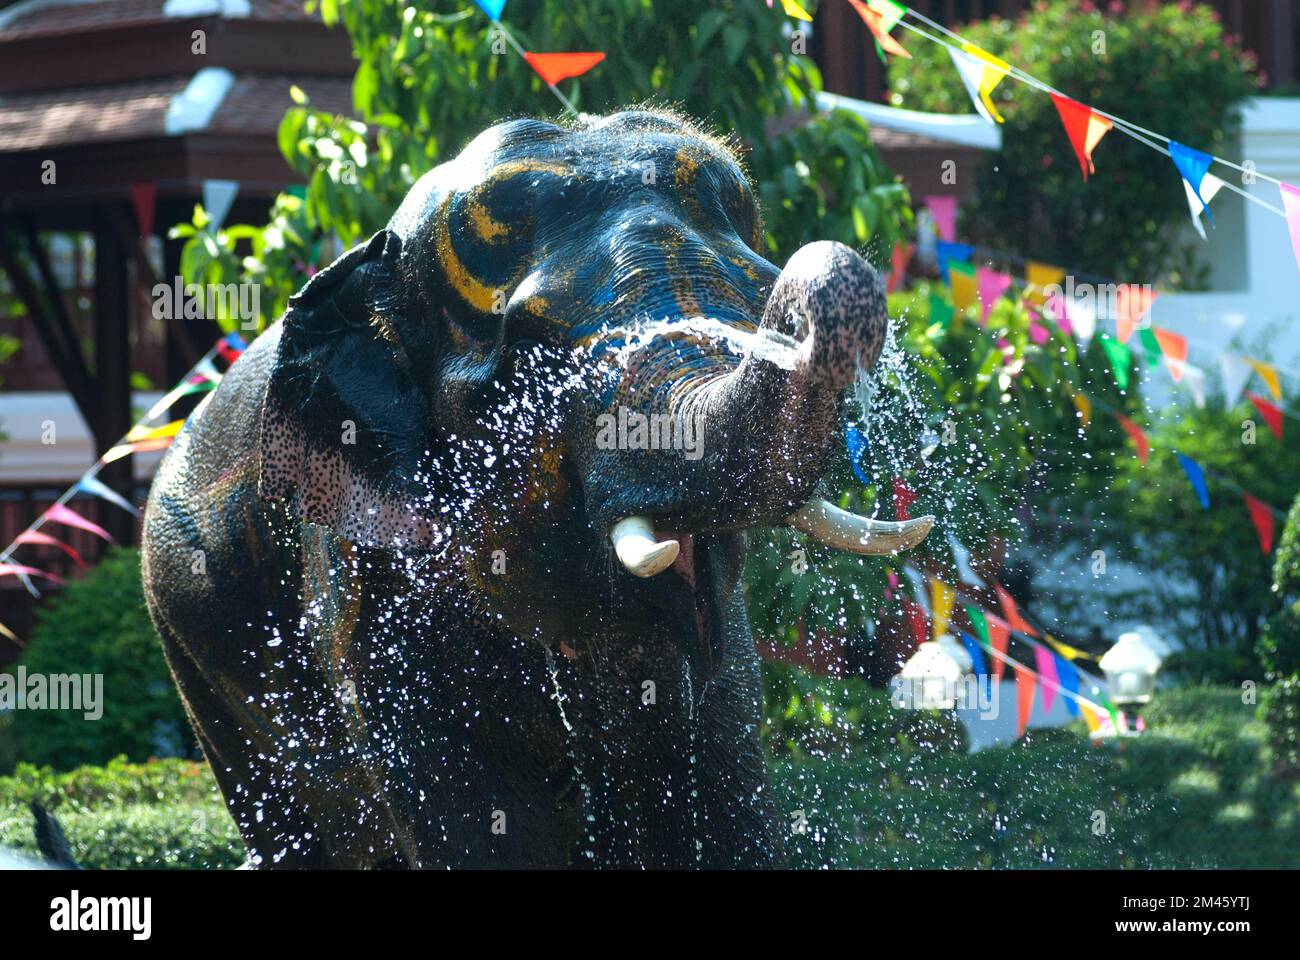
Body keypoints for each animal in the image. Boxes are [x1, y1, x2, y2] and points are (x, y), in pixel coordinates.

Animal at [141, 108, 934, 869]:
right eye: (530, 350)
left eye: (758, 292)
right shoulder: (363, 583)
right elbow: (477, 823)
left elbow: (721, 780)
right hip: (190, 647)